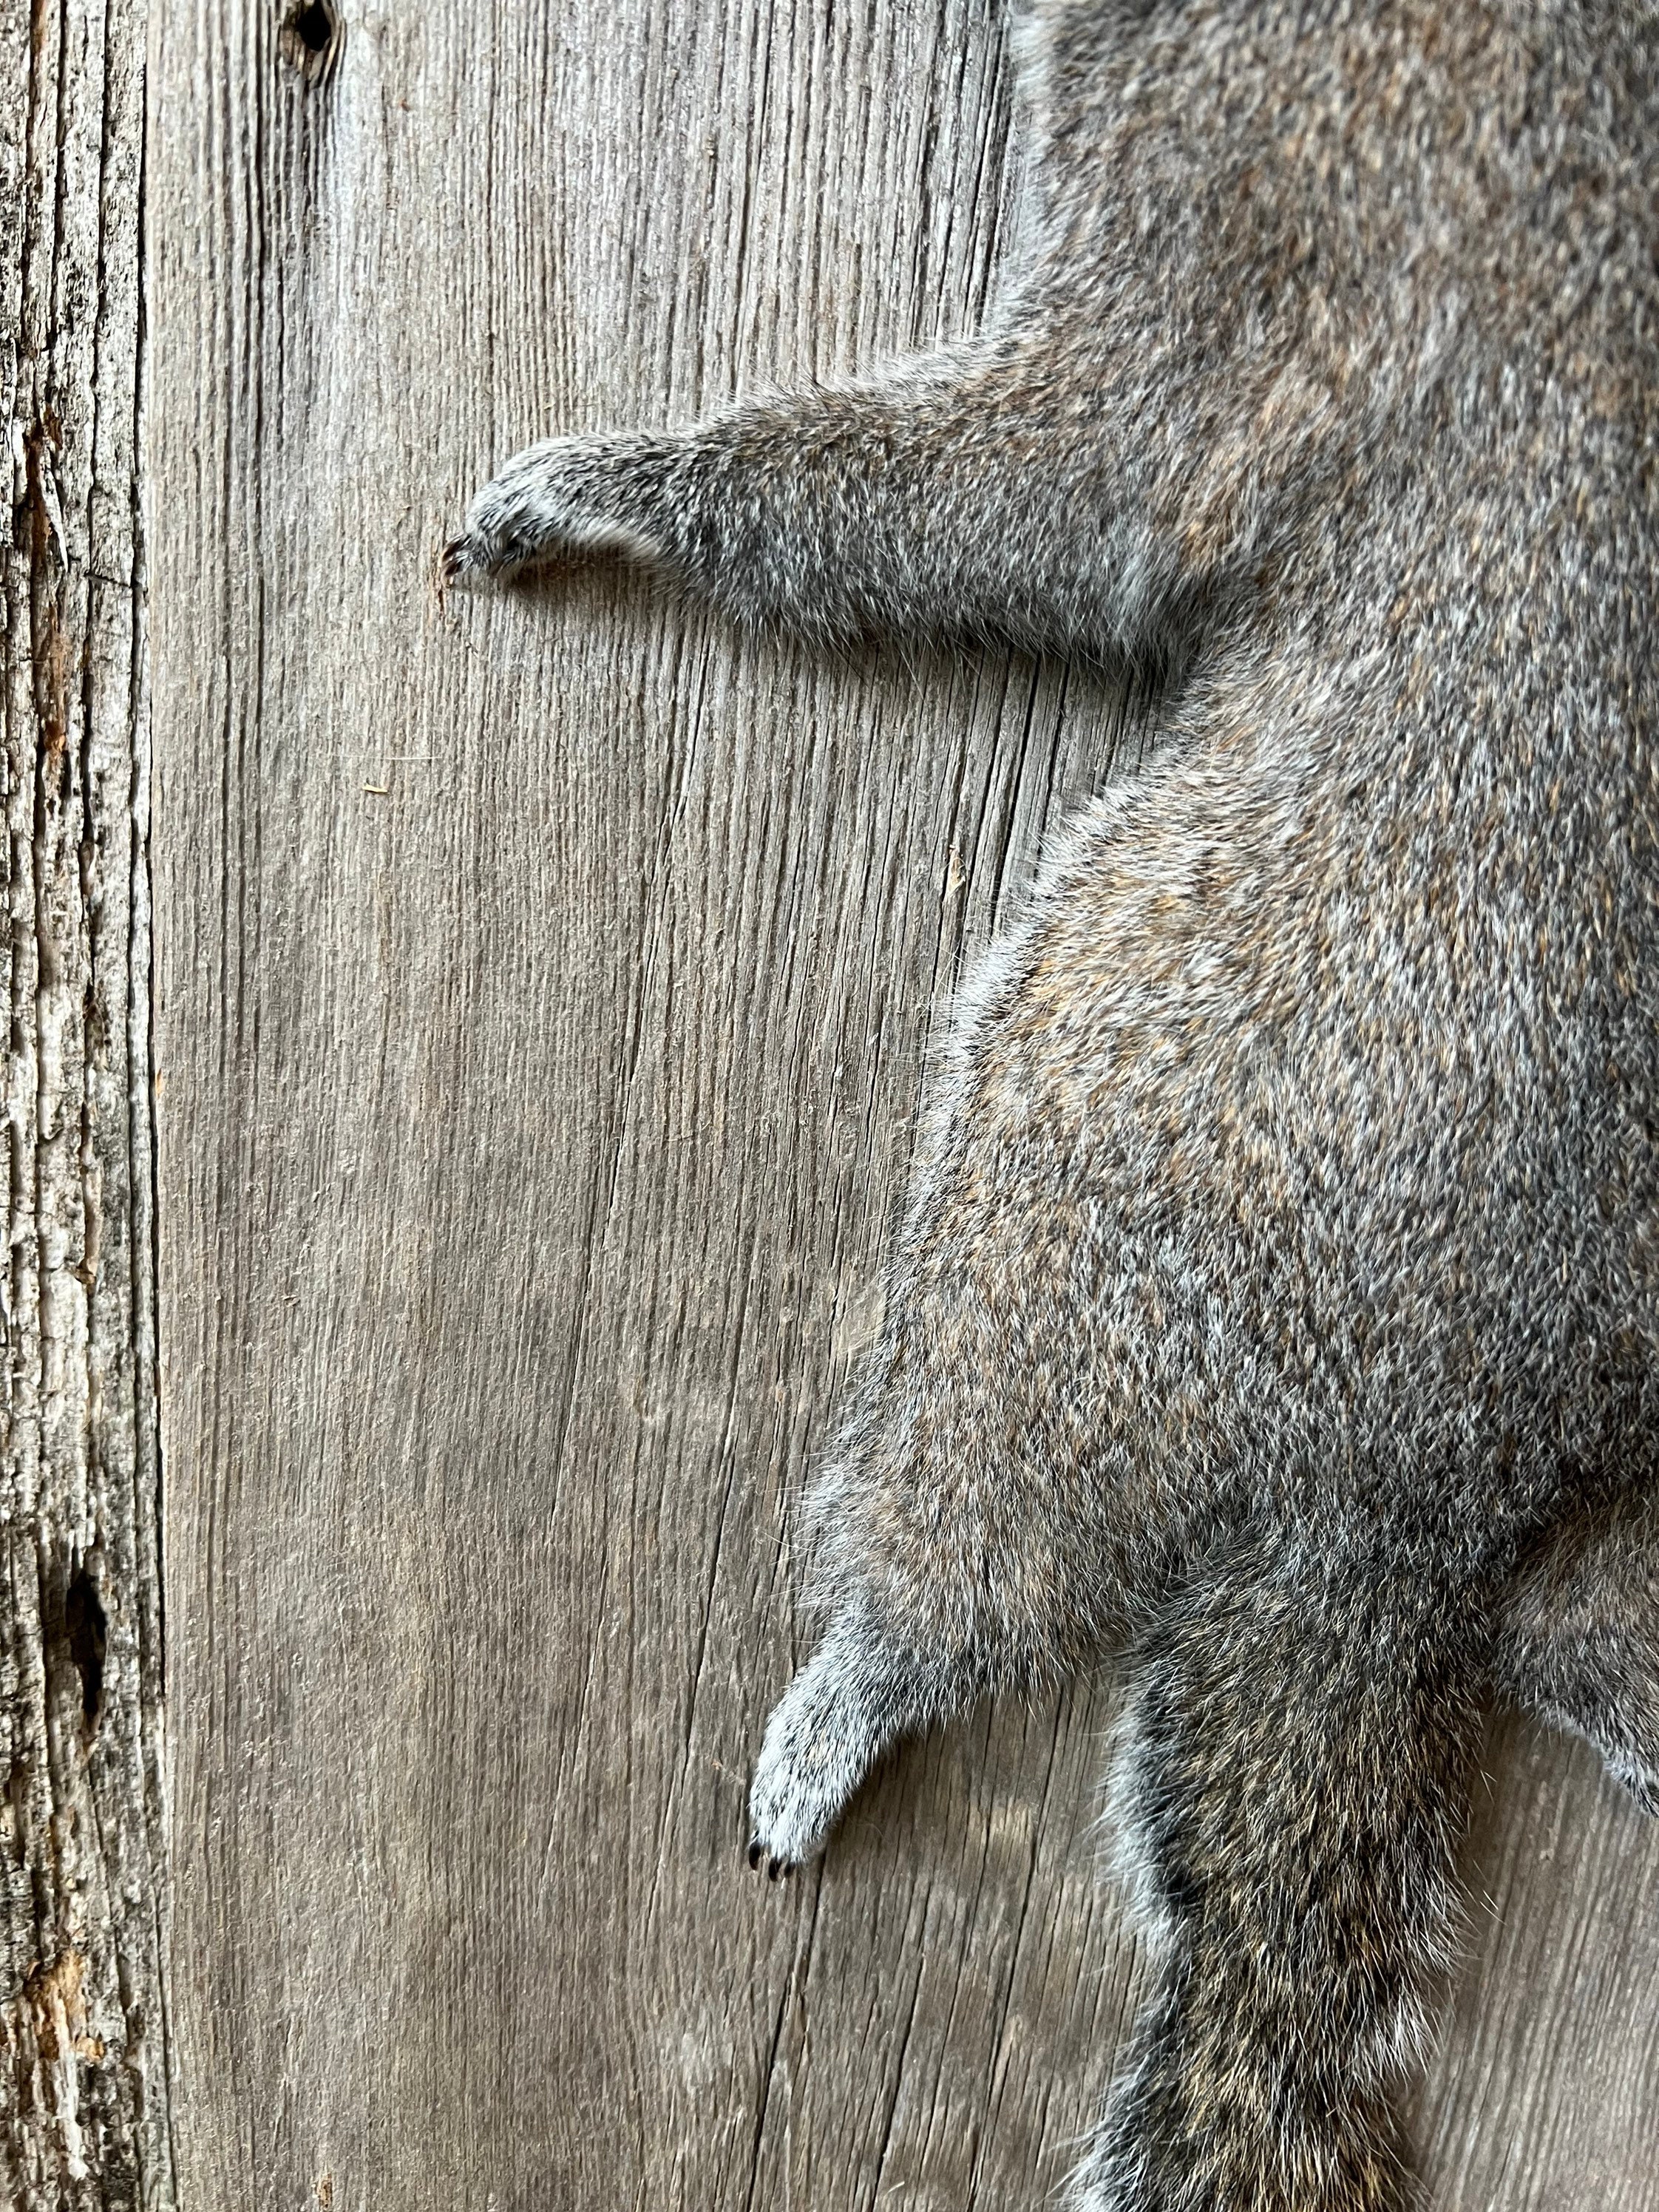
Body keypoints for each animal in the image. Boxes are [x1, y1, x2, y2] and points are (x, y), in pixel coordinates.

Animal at [447, 4, 1659, 2207]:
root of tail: (1426, 1463)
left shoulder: (1263, 169)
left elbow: (1075, 461)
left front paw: (627, 491)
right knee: (1574, 1627)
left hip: (1093, 1143)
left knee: (980, 1495)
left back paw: (861, 1674)